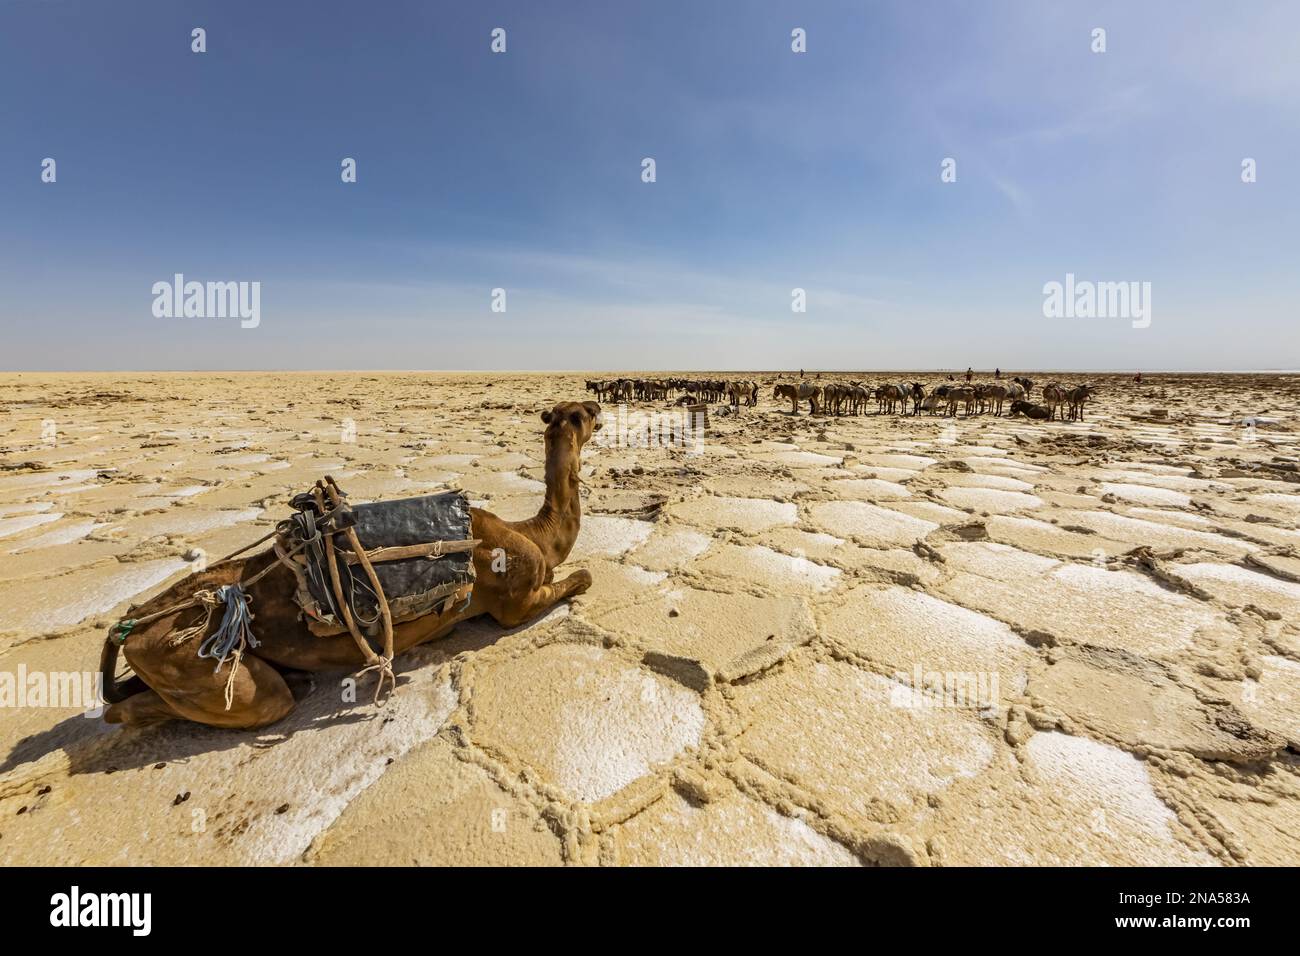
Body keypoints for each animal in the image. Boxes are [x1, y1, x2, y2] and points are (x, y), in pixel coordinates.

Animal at [99, 401, 602, 730]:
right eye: (580, 415)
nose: (596, 403)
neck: (535, 532)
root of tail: (127, 628)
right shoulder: (516, 601)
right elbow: (581, 577)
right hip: (202, 664)